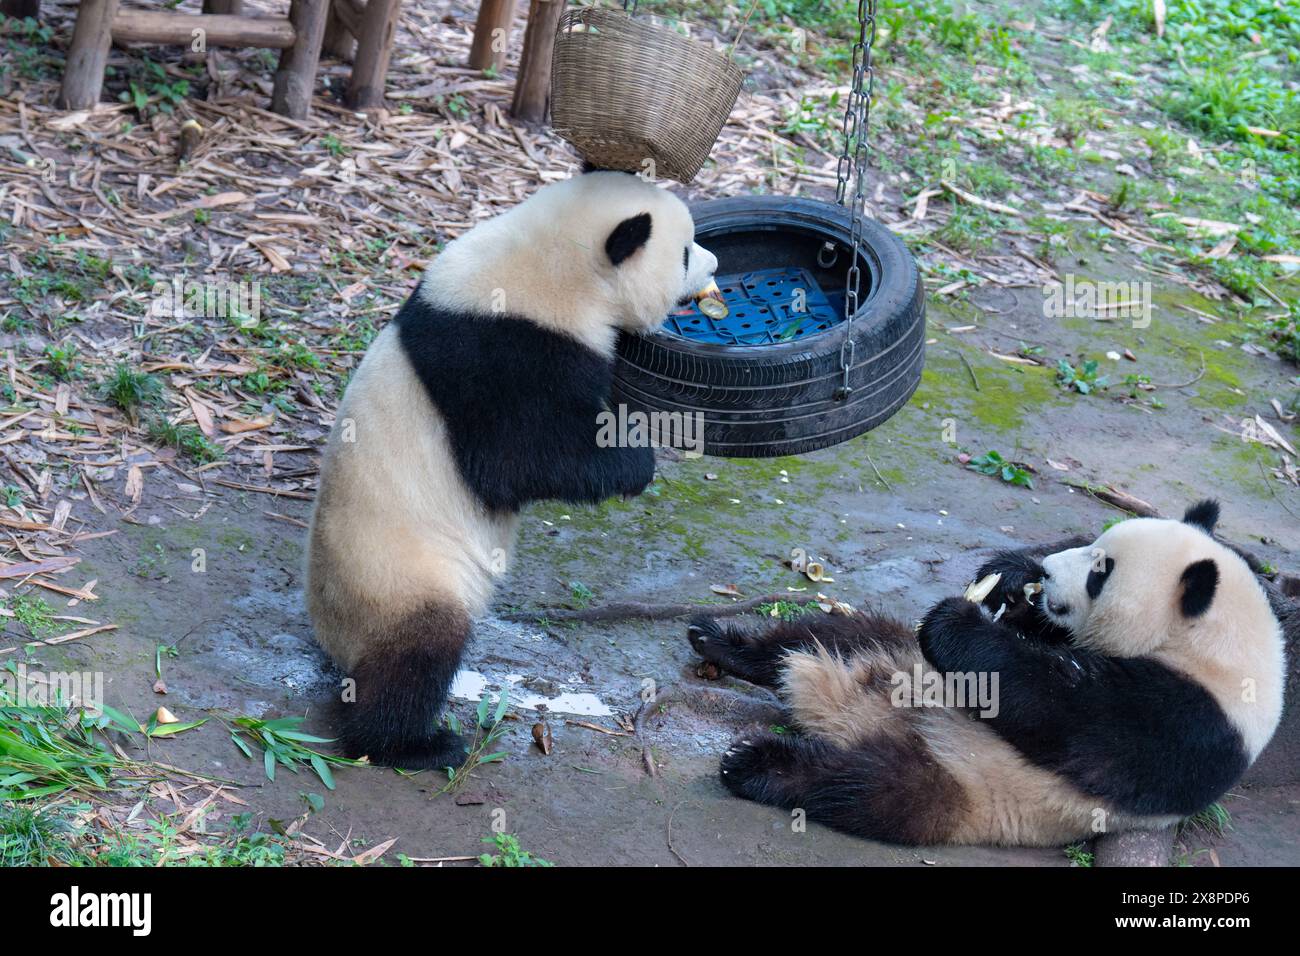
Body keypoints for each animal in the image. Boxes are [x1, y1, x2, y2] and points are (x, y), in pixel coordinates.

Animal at [307, 171, 719, 769]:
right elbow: (518, 460)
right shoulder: (504, 352)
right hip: (401, 576)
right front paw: (637, 459)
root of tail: (336, 642)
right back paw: (415, 744)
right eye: (684, 252)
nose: (713, 267)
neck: (551, 261)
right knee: (417, 657)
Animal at [686, 500, 1286, 846]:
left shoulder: (1189, 723)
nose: (1048, 572)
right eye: (1094, 545)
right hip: (889, 649)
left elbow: (1055, 709)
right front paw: (1007, 578)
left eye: (1100, 570)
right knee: (831, 634)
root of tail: (844, 712)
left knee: (864, 789)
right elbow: (1036, 638)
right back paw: (723, 642)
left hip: (962, 788)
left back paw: (757, 762)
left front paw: (958, 620)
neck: (1218, 643)